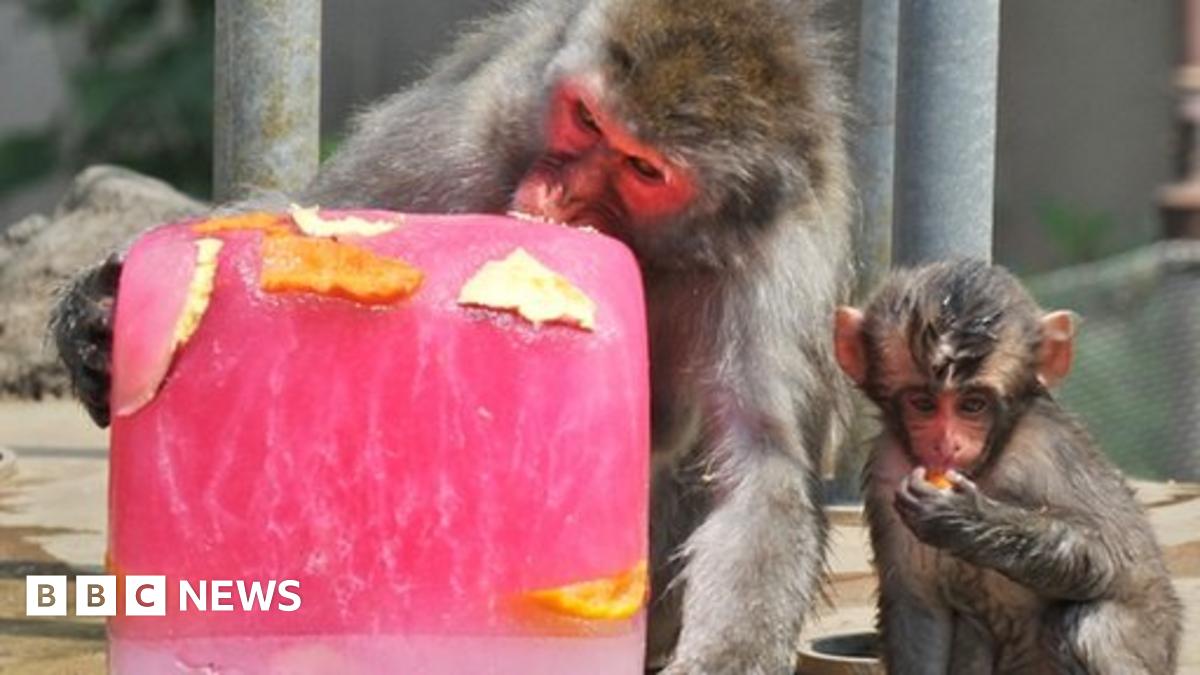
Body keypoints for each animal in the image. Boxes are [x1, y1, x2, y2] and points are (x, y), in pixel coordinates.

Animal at [51, 0, 855, 671]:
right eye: (586, 120)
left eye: (643, 167)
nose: (557, 192)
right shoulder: (471, 127)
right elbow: (321, 206)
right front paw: (97, 319)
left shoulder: (776, 282)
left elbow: (762, 469)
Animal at [833, 259, 1181, 675]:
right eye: (923, 404)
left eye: (972, 405)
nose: (946, 443)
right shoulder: (888, 471)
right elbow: (918, 606)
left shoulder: (1046, 450)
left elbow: (1110, 556)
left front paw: (966, 518)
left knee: (1089, 625)